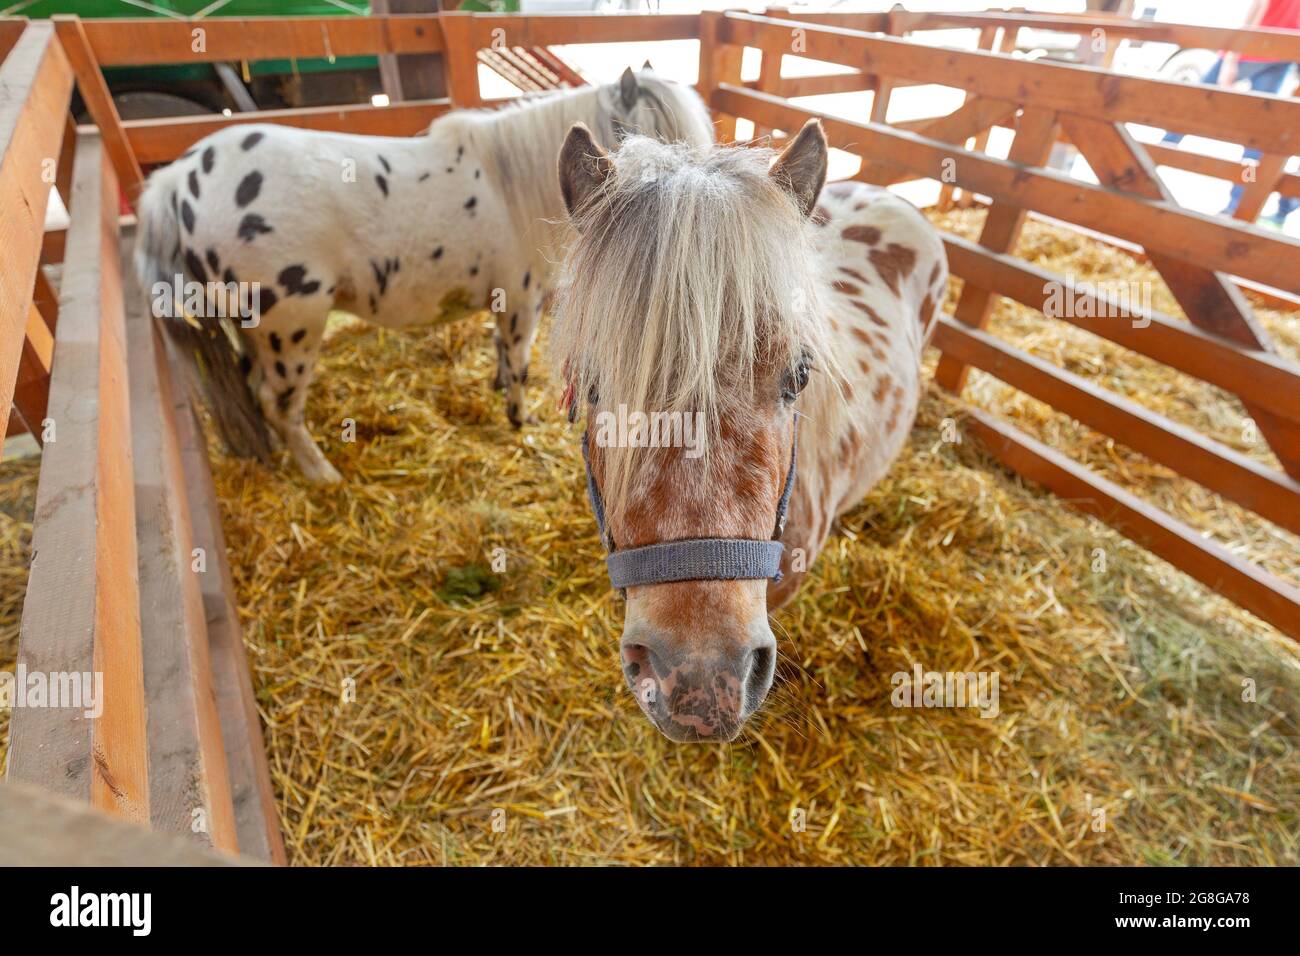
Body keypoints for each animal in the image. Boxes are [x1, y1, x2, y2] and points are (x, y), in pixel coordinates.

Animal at [135, 68, 713, 482]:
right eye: (658, 138)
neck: (514, 182)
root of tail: (177, 180)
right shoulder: (522, 301)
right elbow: (519, 364)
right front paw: (519, 419)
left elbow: (500, 355)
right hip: (290, 327)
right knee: (278, 406)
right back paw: (321, 473)